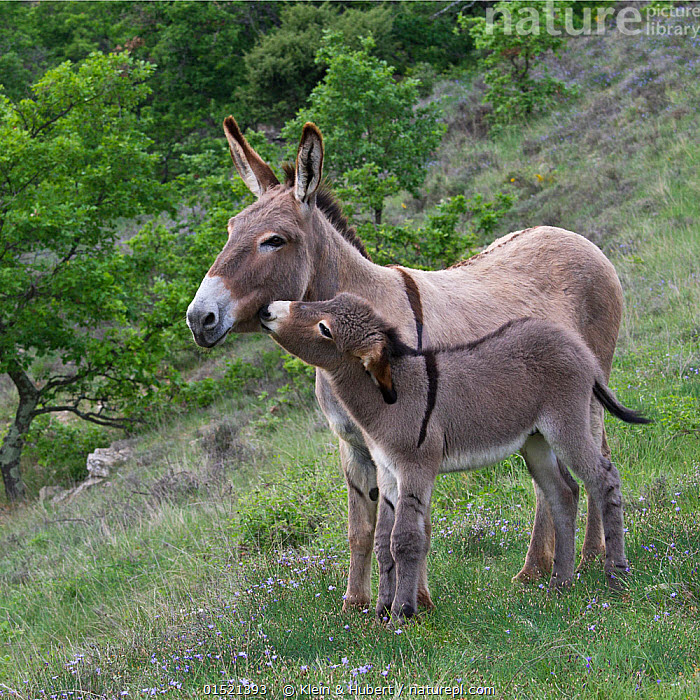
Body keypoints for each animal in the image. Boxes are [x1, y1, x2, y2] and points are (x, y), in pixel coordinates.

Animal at [262, 292, 652, 620]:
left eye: (324, 329)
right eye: (322, 301)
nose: (267, 310)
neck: (392, 396)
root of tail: (575, 344)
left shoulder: (414, 468)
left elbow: (405, 539)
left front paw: (402, 614)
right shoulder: (387, 471)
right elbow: (383, 541)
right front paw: (382, 613)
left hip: (566, 425)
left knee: (603, 479)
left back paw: (616, 575)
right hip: (536, 441)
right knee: (563, 493)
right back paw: (560, 583)